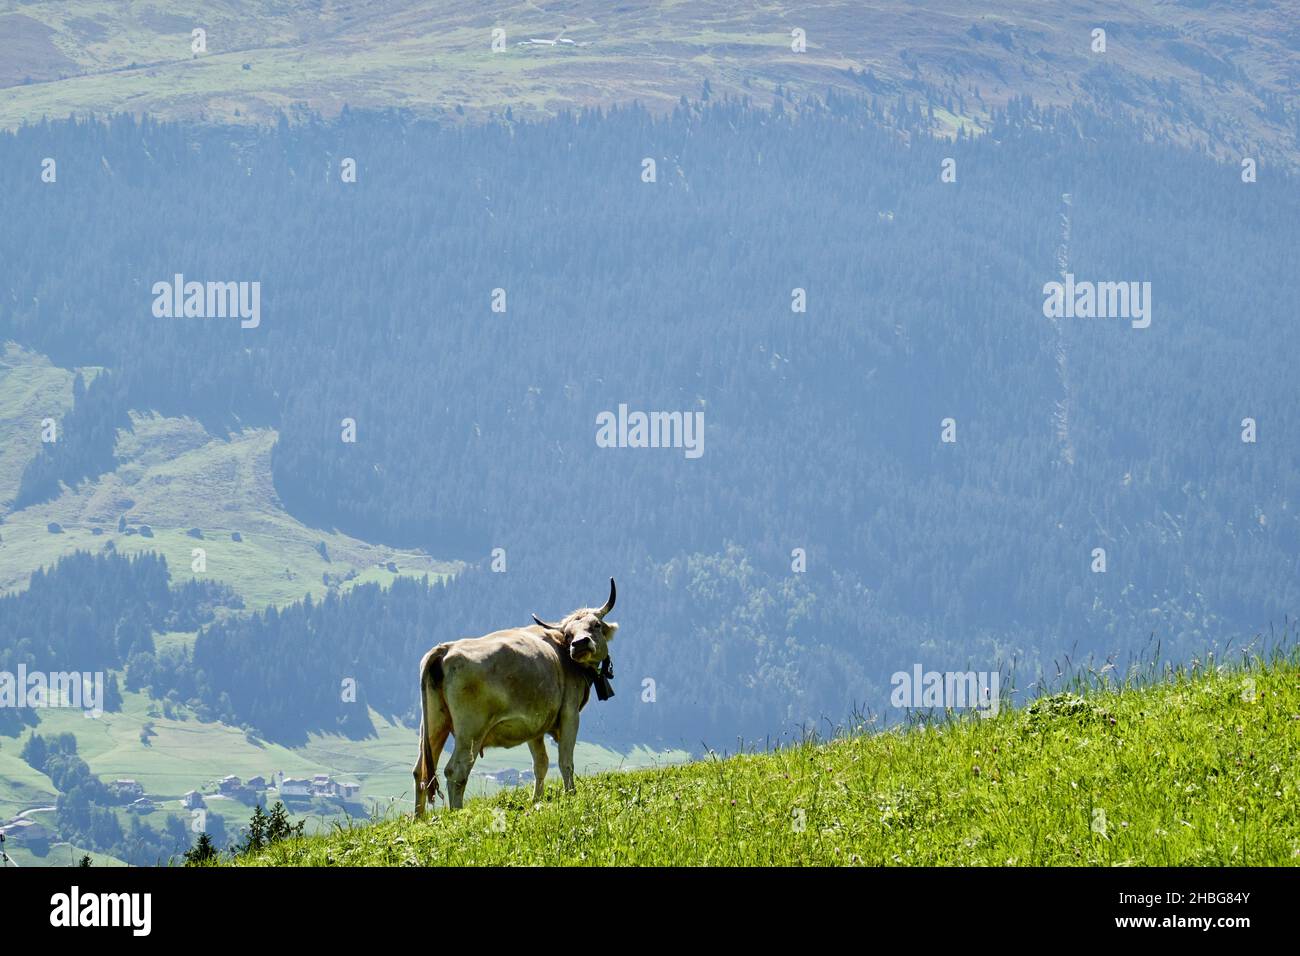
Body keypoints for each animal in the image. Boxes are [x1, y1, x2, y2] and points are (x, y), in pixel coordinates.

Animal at [413, 579, 618, 815]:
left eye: (595, 625)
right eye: (568, 634)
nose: (580, 644)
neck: (562, 654)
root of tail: (445, 649)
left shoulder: (535, 725)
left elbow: (541, 763)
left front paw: (536, 800)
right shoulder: (570, 713)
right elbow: (565, 761)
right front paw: (571, 796)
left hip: (434, 724)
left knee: (421, 771)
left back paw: (419, 818)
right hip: (470, 730)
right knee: (456, 770)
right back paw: (458, 813)